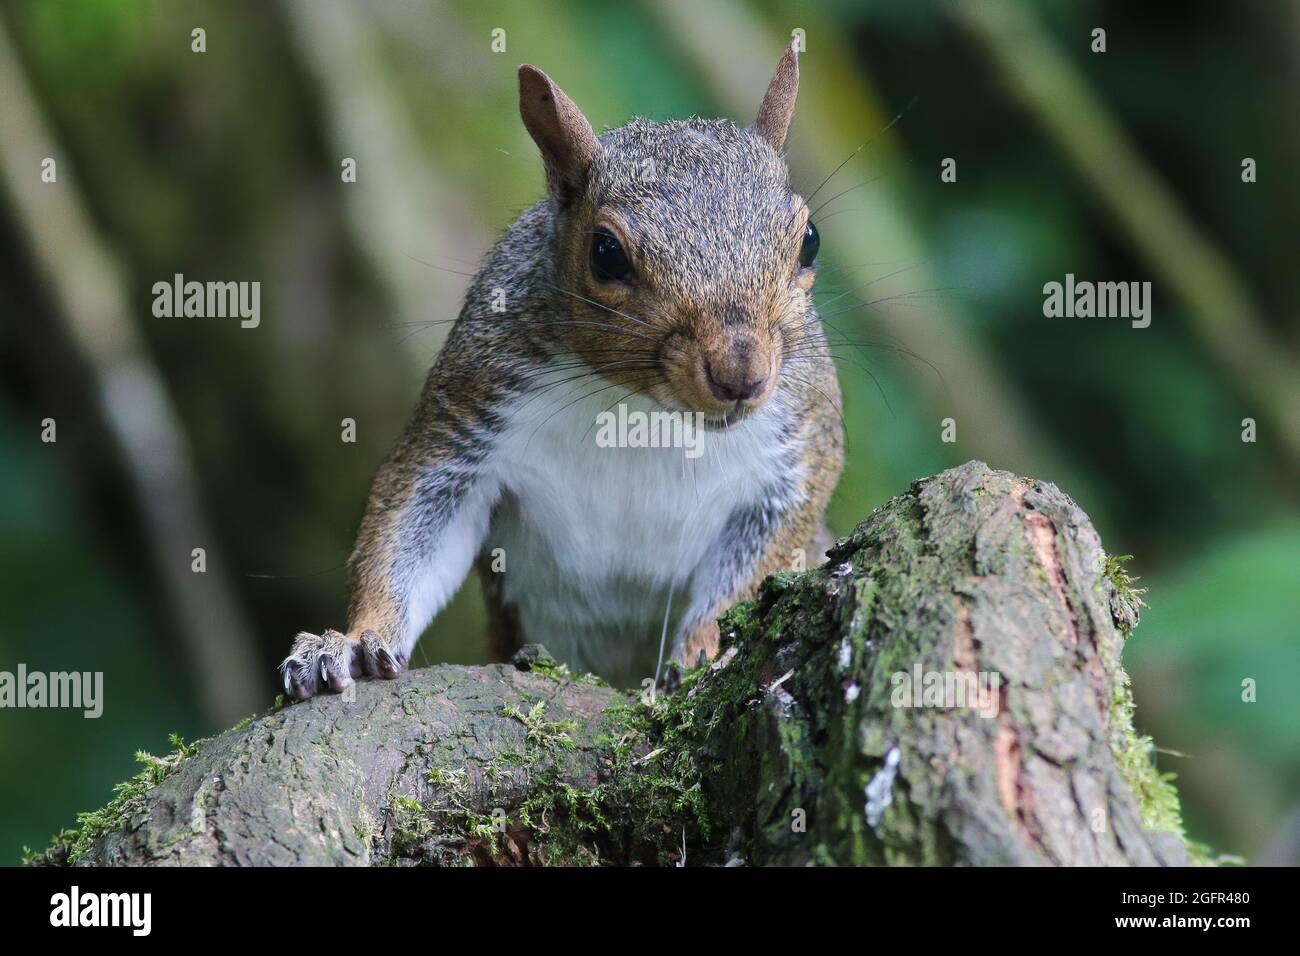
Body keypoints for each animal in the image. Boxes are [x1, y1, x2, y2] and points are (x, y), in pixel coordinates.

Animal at [281, 42, 843, 697]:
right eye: (606, 253)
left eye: (809, 240)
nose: (741, 376)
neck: (642, 409)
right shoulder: (470, 414)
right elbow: (413, 523)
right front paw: (351, 641)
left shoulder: (799, 445)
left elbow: (761, 564)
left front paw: (705, 650)